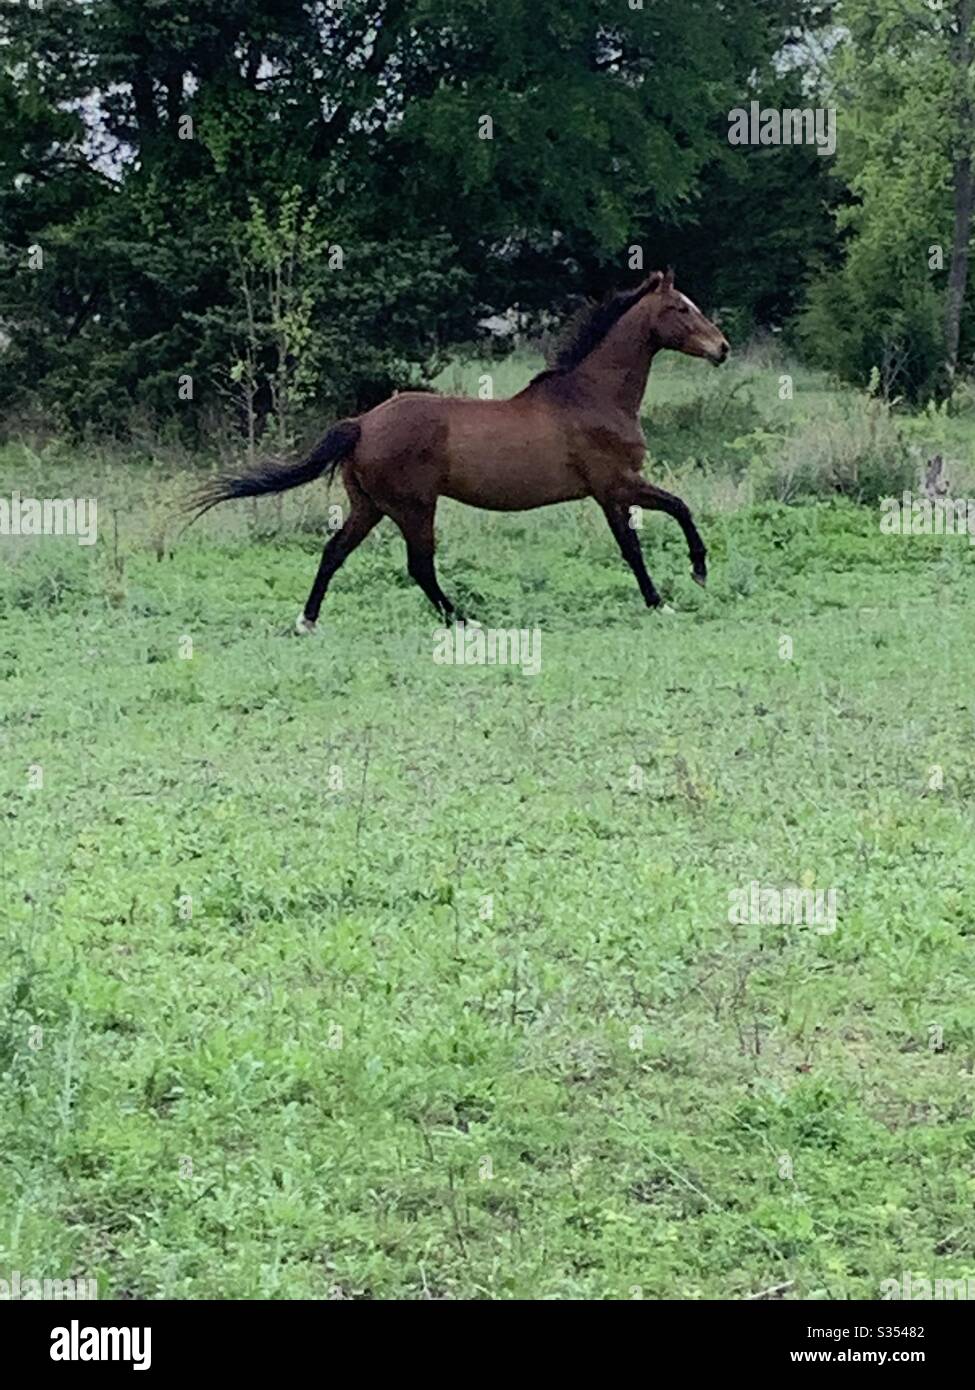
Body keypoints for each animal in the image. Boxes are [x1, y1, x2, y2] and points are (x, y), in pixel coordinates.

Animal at [189, 269, 729, 632]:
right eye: (681, 308)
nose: (722, 348)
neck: (592, 396)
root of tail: (361, 424)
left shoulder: (614, 491)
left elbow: (649, 532)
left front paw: (673, 591)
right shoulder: (615, 485)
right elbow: (664, 521)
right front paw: (689, 580)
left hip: (370, 506)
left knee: (335, 551)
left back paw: (308, 621)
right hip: (414, 507)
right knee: (419, 566)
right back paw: (464, 619)